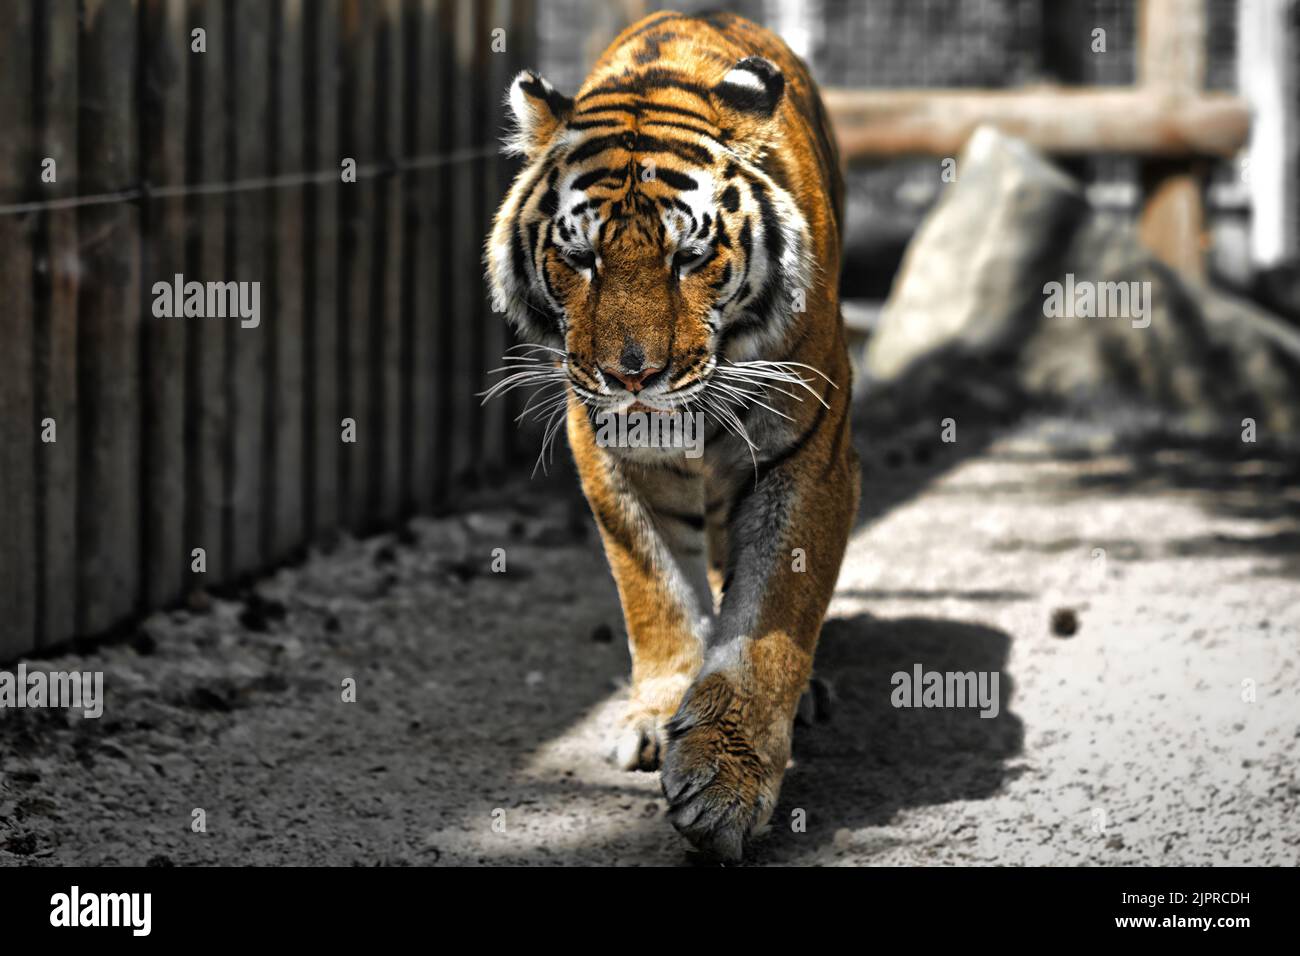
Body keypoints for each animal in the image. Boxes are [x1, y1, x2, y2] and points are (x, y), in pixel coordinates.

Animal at [485, 10, 859, 861]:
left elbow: (768, 619)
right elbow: (654, 588)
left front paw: (724, 783)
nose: (633, 376)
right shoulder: (608, 452)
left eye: (689, 257)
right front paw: (659, 716)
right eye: (581, 257)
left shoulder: (808, 455)